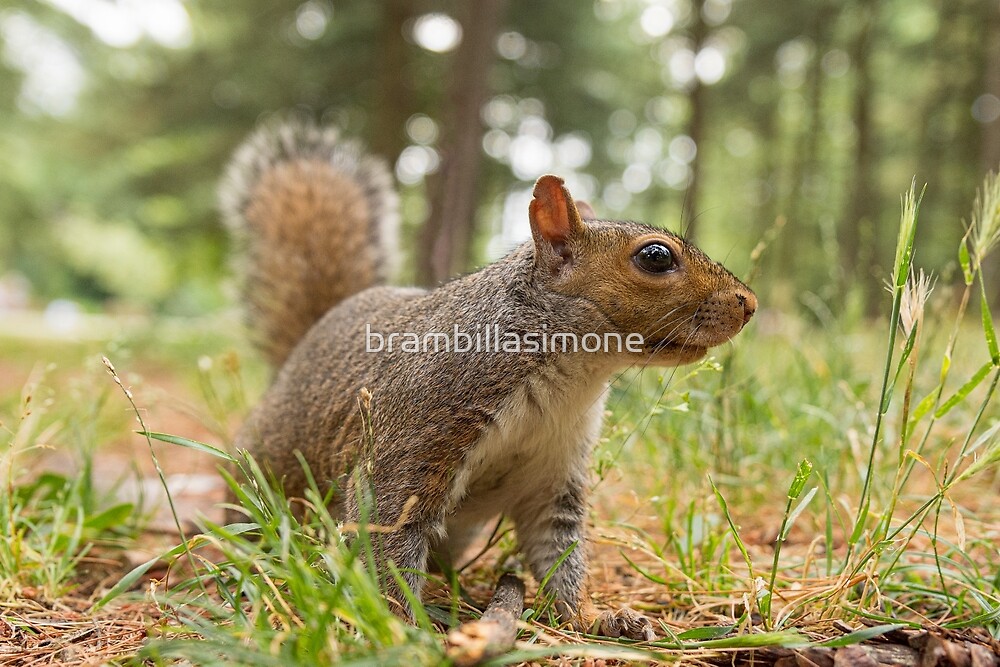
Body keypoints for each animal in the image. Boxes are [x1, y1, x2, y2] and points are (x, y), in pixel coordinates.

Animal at [219, 119, 757, 640]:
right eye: (656, 257)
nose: (748, 303)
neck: (570, 375)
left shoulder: (555, 470)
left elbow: (558, 549)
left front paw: (593, 617)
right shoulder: (416, 433)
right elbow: (387, 532)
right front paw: (399, 624)